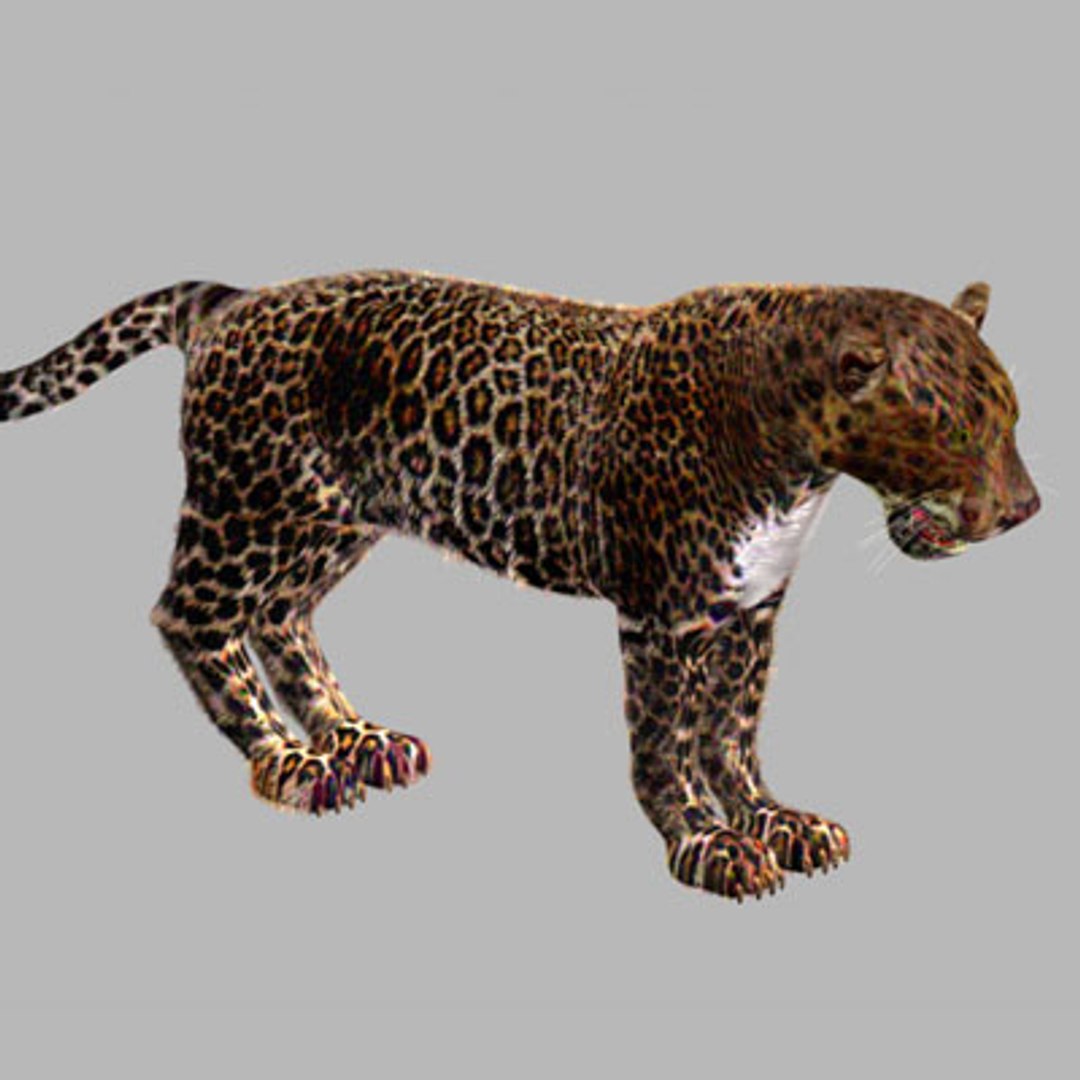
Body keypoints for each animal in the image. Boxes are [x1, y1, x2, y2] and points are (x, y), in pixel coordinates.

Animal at [0, 270, 1040, 901]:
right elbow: (668, 744)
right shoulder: (663, 615)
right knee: (191, 615)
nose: (1027, 510)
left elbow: (734, 735)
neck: (798, 461)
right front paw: (706, 843)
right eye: (955, 428)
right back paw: (288, 760)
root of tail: (233, 302)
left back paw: (355, 740)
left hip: (328, 524)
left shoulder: (749, 611)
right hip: (248, 510)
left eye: (1015, 416)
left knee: (282, 616)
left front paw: (772, 820)